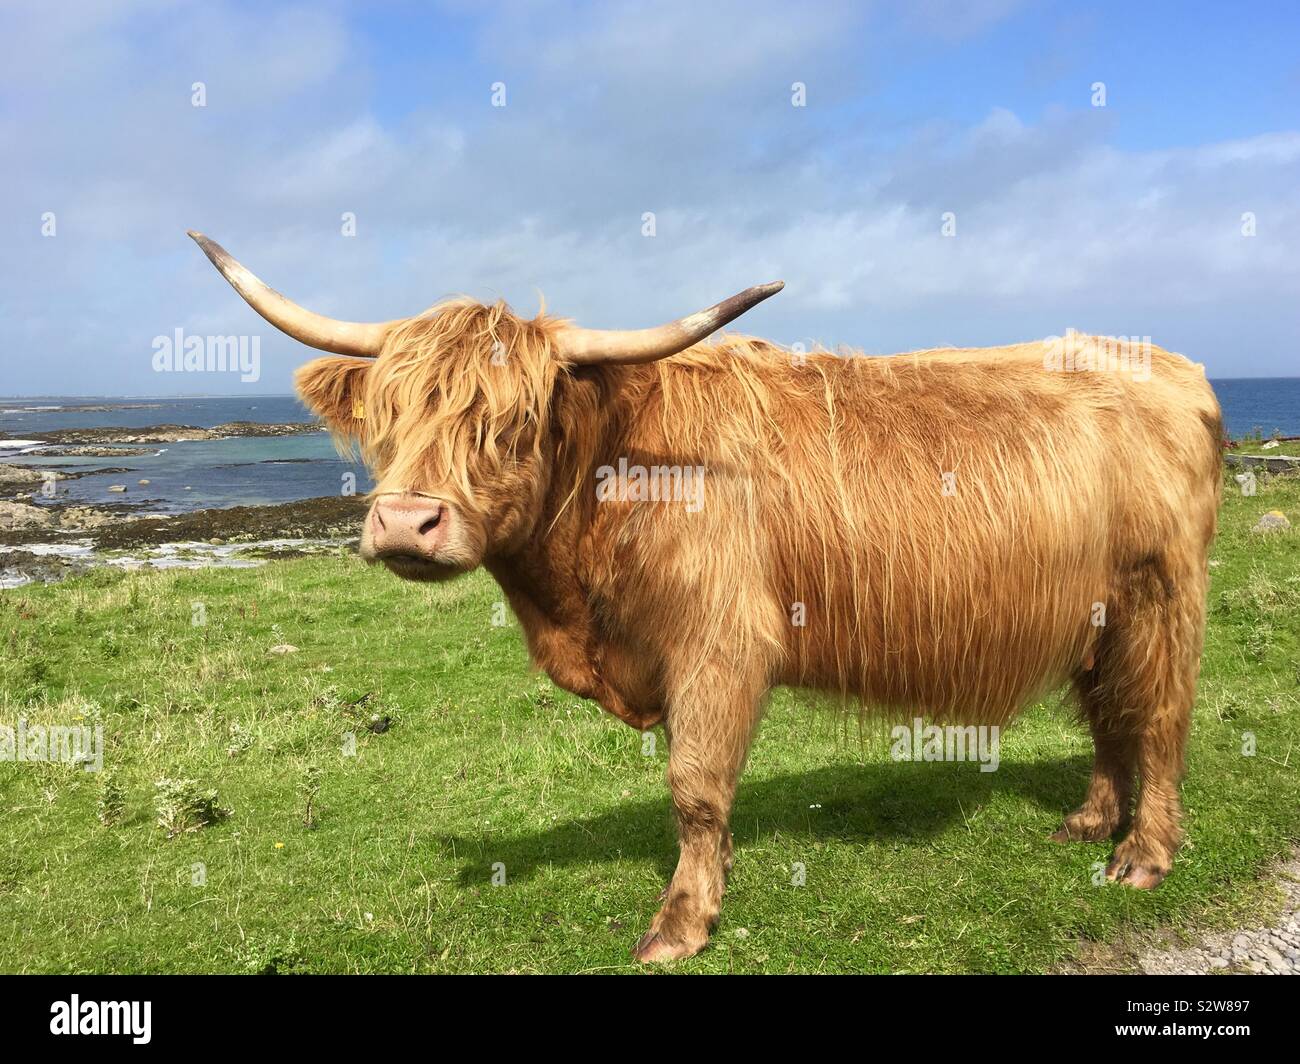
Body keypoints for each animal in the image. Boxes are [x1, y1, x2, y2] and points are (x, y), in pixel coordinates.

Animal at [190, 232, 1222, 962]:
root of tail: (1173, 366)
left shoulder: (722, 645)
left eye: (514, 422)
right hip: (1098, 613)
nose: (407, 523)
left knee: (1160, 719)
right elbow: (705, 791)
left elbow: (693, 783)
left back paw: (1143, 854)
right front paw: (714, 874)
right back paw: (1090, 820)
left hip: (1163, 598)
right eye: (389, 415)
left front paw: (682, 921)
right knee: (1108, 714)